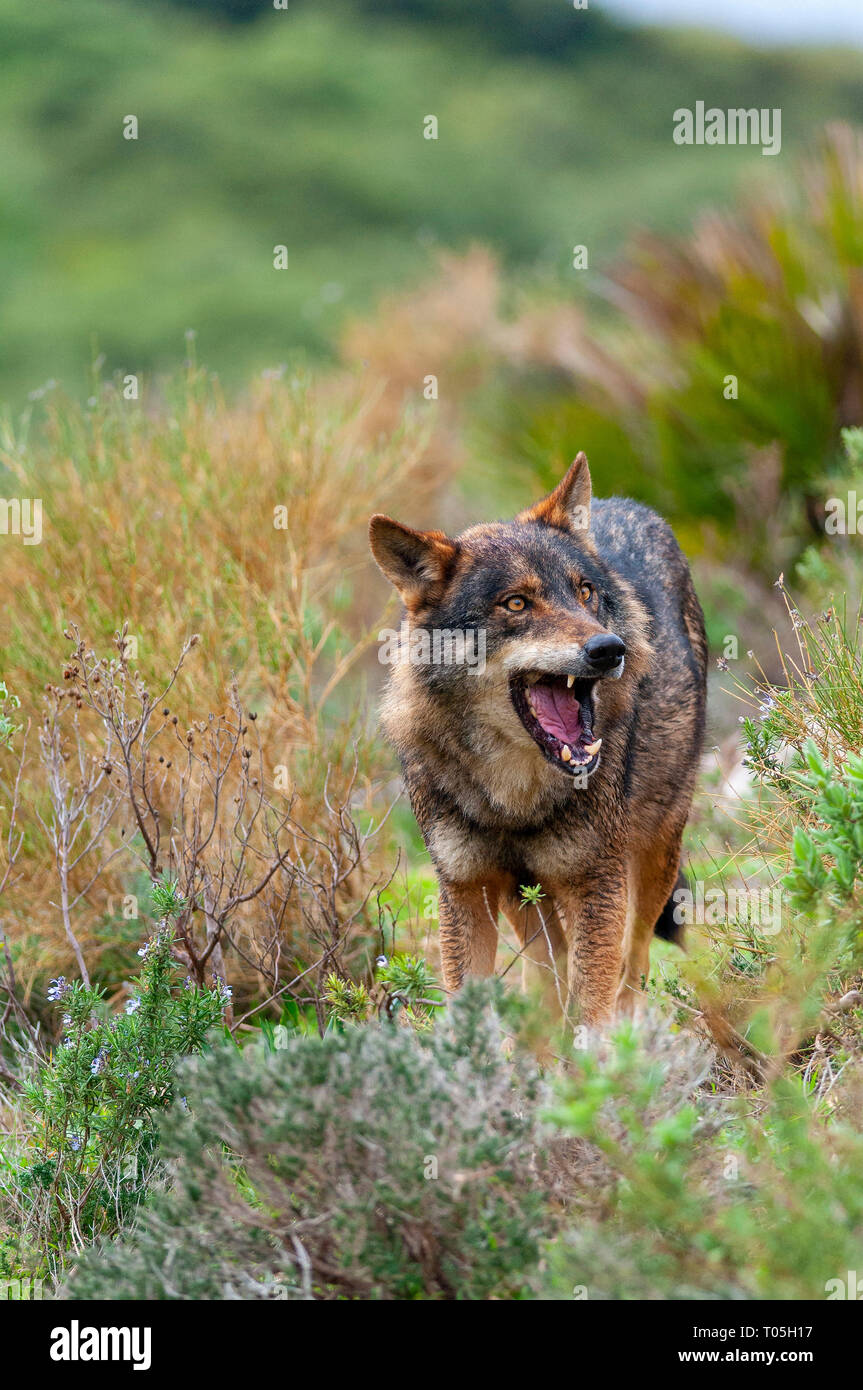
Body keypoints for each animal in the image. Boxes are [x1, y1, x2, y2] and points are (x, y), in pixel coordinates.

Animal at [369, 453, 707, 1025]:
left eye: (585, 592)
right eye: (516, 603)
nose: (608, 648)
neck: (515, 795)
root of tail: (628, 505)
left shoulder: (597, 884)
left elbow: (594, 1004)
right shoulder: (467, 890)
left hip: (656, 851)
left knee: (634, 961)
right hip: (525, 894)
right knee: (548, 972)